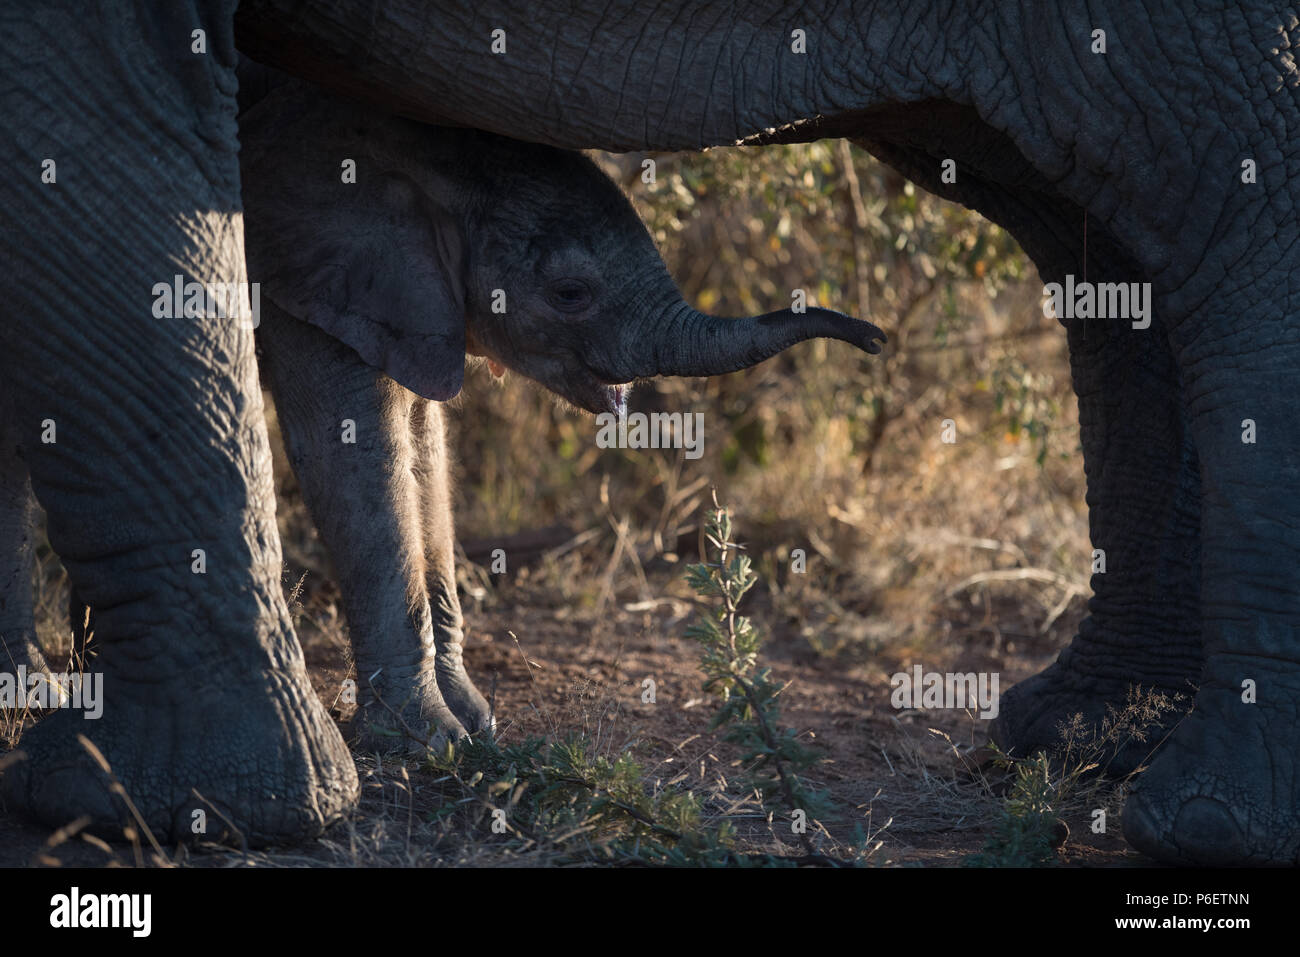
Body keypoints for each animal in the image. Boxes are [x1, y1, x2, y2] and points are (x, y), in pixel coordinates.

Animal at [237, 69, 884, 751]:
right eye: (570, 294)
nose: (873, 340)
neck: (412, 154)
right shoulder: (304, 266)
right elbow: (354, 446)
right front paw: (428, 744)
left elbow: (424, 441)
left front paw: (476, 723)